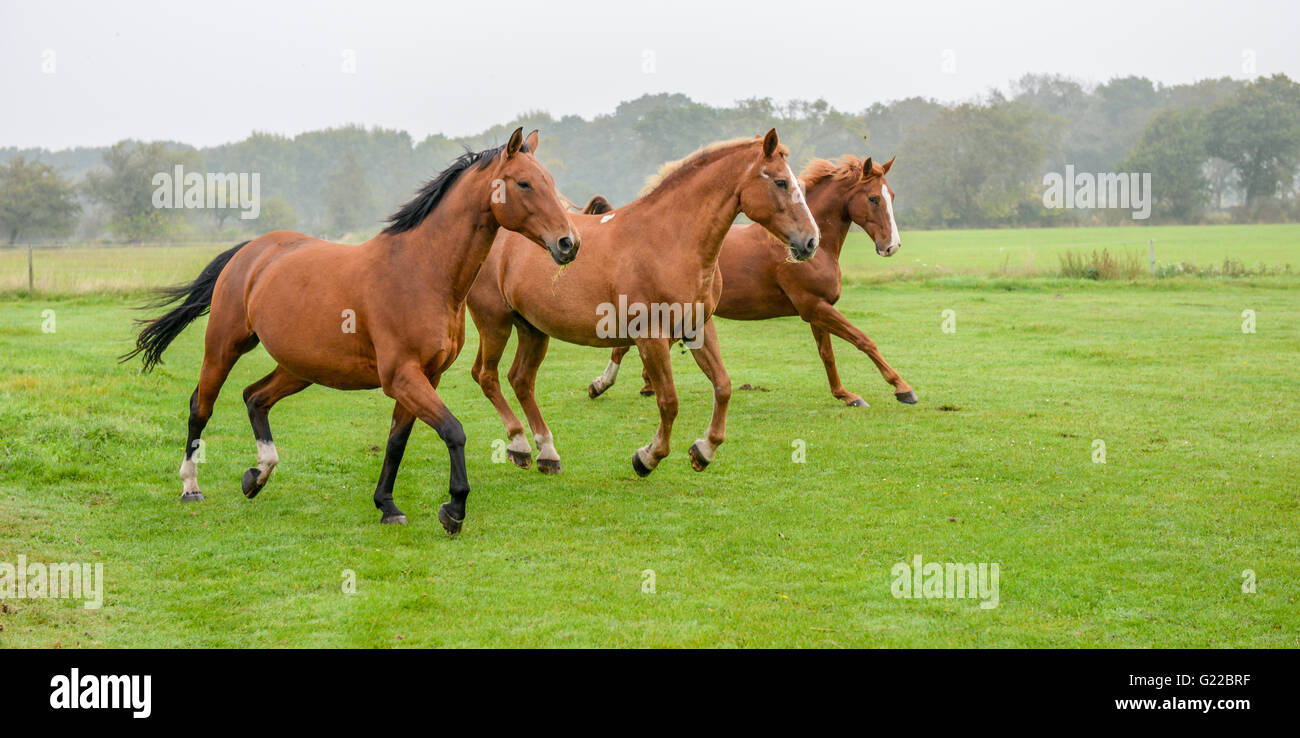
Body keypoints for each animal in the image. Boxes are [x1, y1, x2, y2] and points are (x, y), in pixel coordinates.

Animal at [121, 128, 578, 535]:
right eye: (524, 183)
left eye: (551, 182)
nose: (569, 243)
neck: (421, 271)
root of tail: (250, 251)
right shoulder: (403, 377)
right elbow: (453, 431)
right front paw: (454, 510)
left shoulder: (425, 377)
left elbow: (397, 442)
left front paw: (387, 506)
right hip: (224, 347)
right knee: (201, 406)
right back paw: (191, 486)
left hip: (300, 367)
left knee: (255, 397)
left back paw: (258, 474)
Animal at [465, 129, 820, 477]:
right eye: (780, 182)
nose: (811, 241)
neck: (670, 240)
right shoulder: (651, 338)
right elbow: (669, 401)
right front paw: (648, 456)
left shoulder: (699, 328)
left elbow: (723, 386)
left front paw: (704, 450)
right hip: (495, 323)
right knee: (486, 376)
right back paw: (519, 444)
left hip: (533, 329)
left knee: (521, 380)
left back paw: (546, 453)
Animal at [586, 154, 916, 408]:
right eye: (873, 198)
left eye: (891, 196)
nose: (892, 246)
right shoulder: (813, 306)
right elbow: (863, 340)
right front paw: (902, 388)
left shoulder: (816, 310)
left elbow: (827, 355)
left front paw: (845, 395)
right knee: (624, 347)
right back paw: (603, 384)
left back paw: (640, 385)